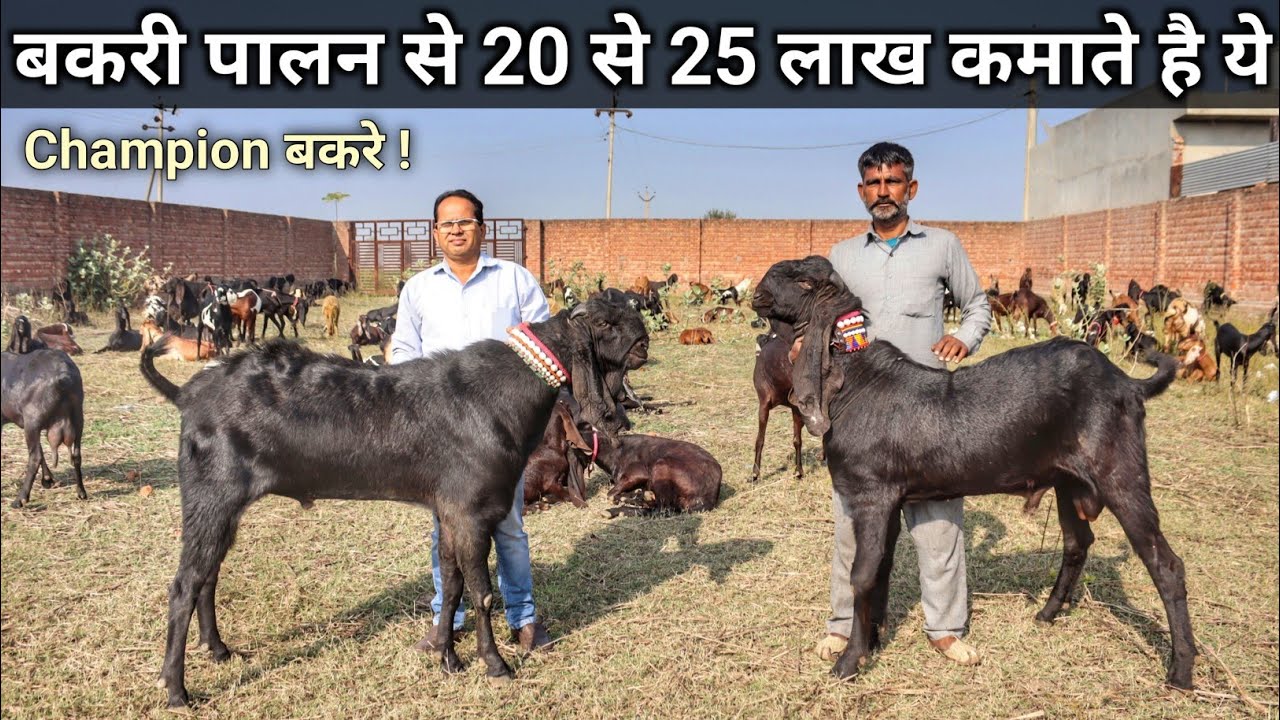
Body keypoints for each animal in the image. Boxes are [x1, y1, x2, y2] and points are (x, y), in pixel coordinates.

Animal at [1, 347, 86, 507]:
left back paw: (20, 499)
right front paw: (47, 479)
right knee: (77, 455)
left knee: (34, 457)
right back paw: (81, 492)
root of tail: (64, 376)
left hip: (32, 421)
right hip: (78, 420)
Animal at [139, 295, 647, 707]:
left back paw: (219, 650)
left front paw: (448, 658)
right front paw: (495, 665)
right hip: (211, 496)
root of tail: (187, 395)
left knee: (208, 576)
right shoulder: (470, 511)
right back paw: (176, 690)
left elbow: (453, 585)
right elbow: (482, 593)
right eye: (605, 322)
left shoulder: (449, 511)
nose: (643, 342)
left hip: (224, 507)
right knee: (184, 585)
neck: (496, 396)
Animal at [591, 434, 722, 517]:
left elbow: (610, 493)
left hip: (661, 465)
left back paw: (615, 511)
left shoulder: (639, 473)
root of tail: (709, 498)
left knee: (662, 509)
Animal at [750, 255, 1195, 689]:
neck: (854, 379)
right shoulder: (890, 498)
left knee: (1165, 564)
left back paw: (1181, 671)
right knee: (1077, 542)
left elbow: (861, 574)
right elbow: (881, 567)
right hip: (1069, 482)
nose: (759, 289)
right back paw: (1048, 612)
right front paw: (873, 641)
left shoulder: (871, 495)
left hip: (1121, 475)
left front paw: (850, 661)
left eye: (798, 278)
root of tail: (1128, 384)